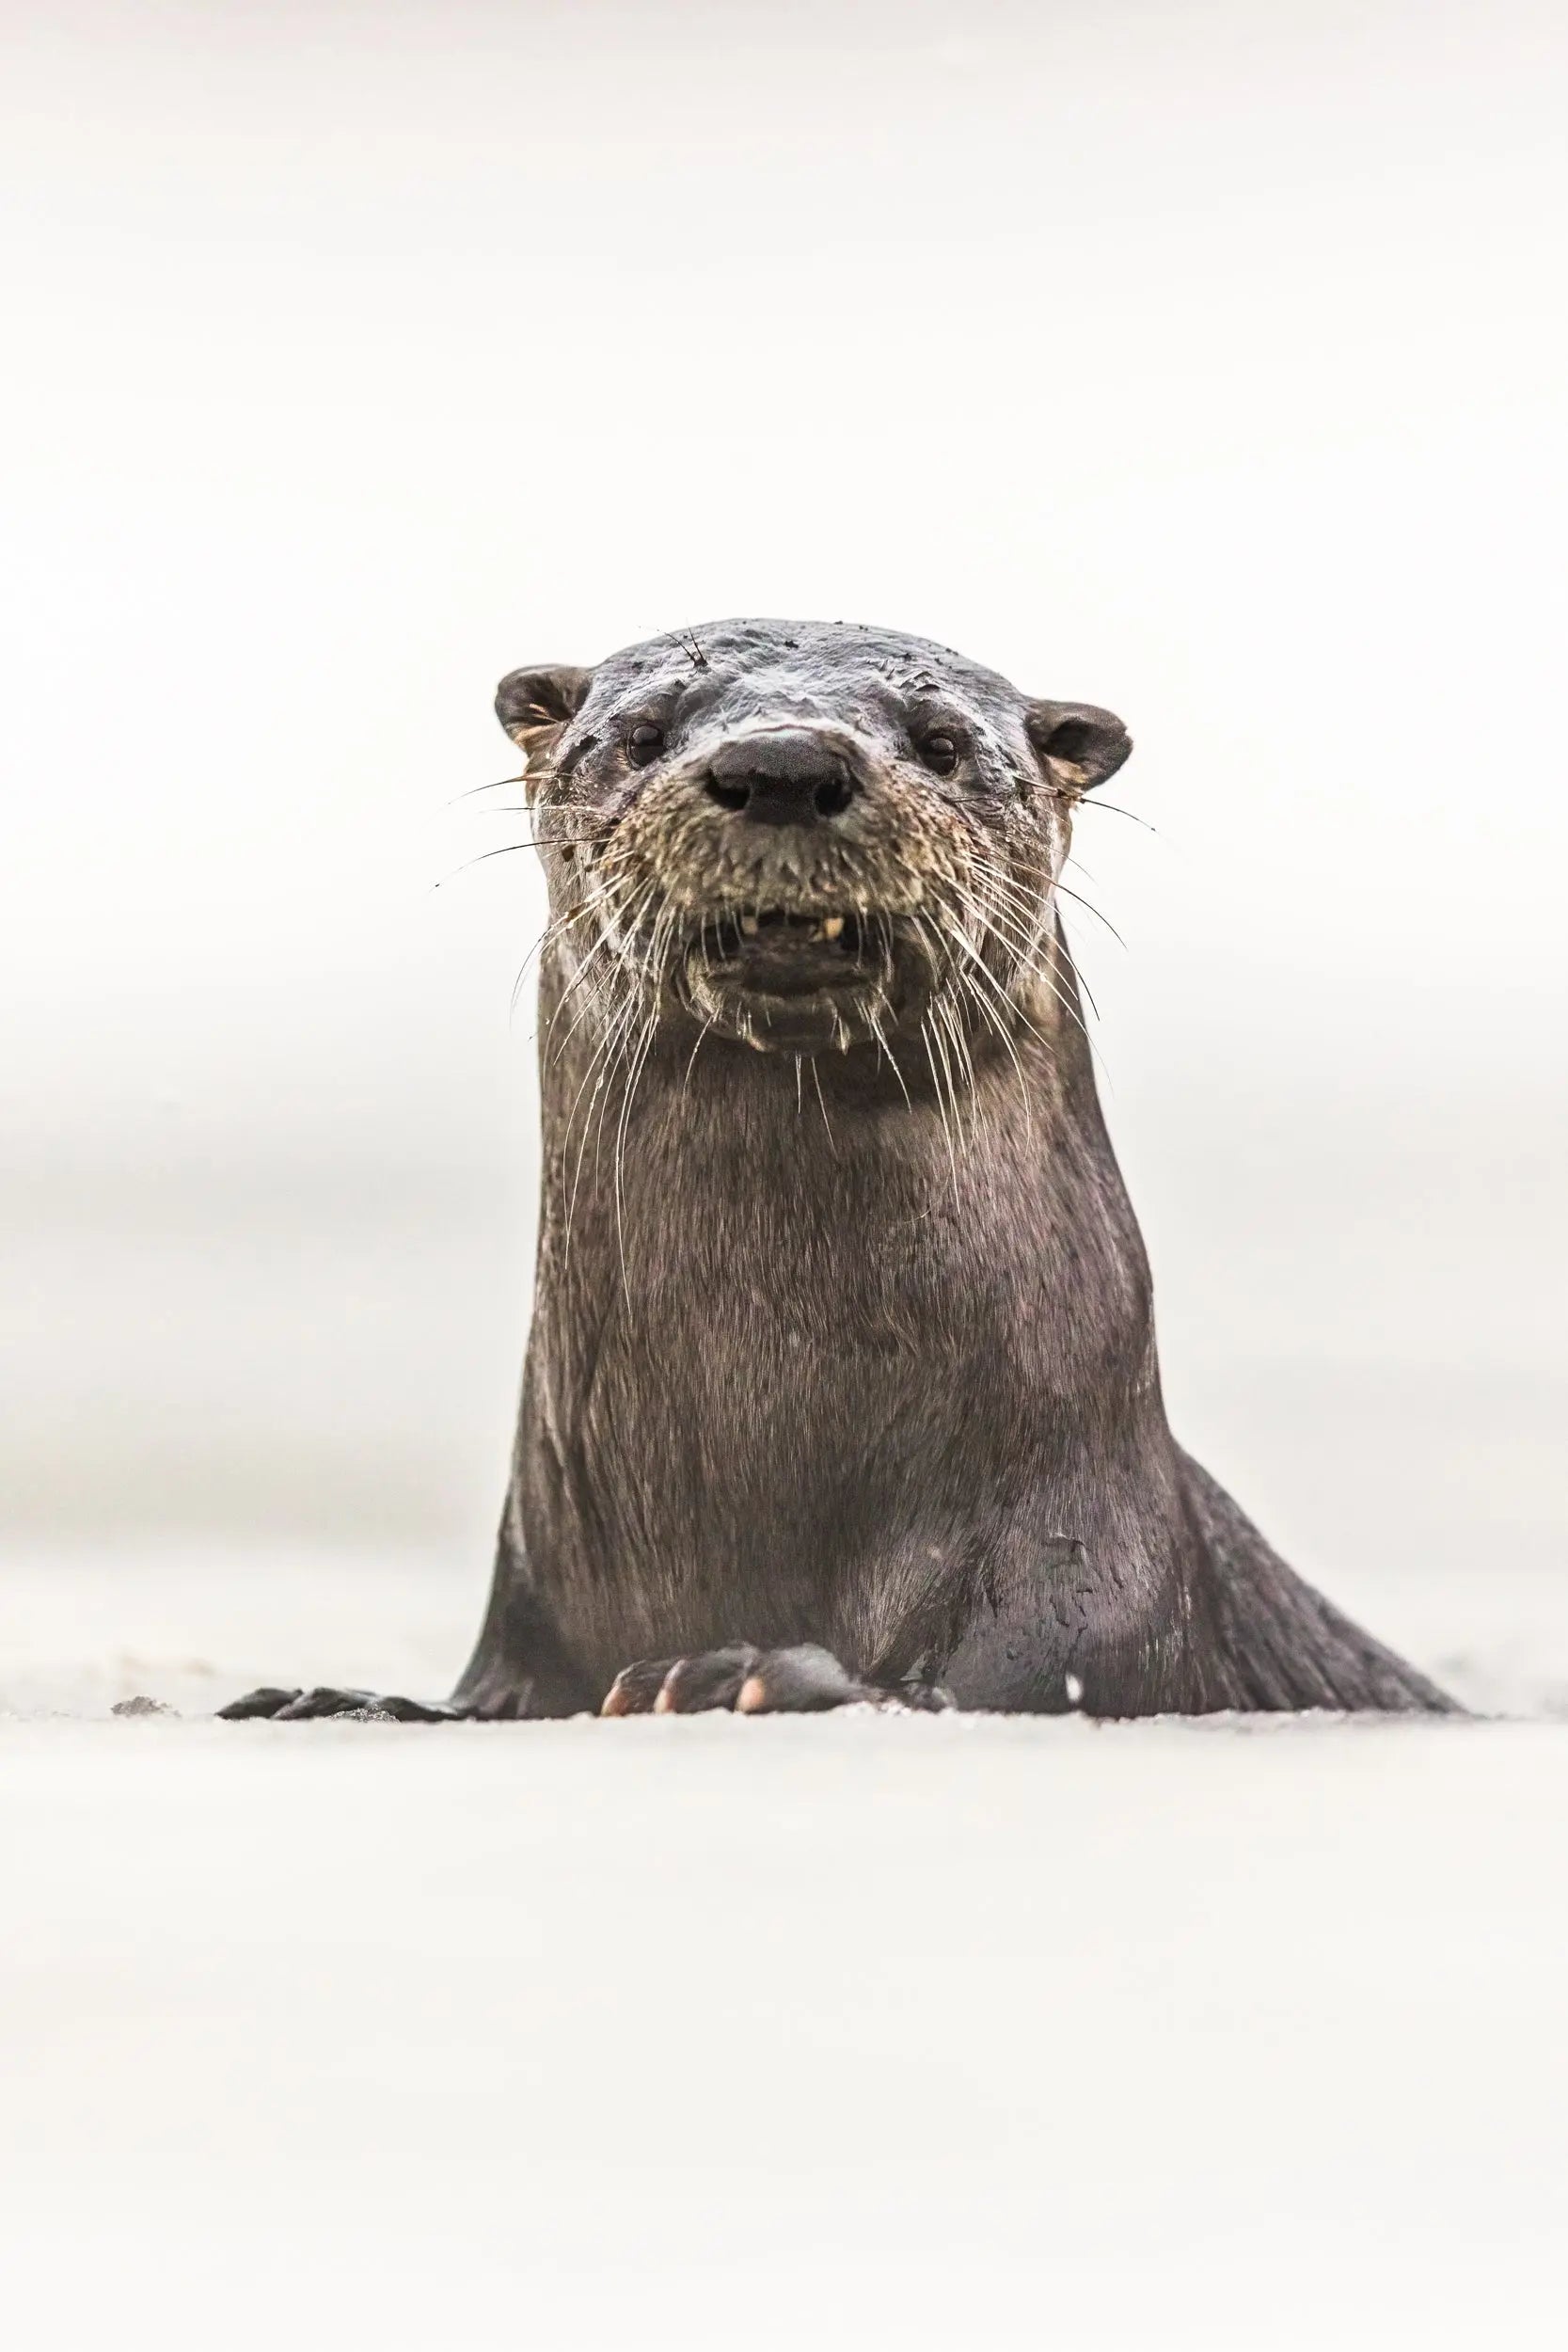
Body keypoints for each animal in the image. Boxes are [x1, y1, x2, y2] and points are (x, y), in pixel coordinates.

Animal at [221, 620, 1453, 1723]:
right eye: (643, 730)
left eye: (942, 742)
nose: (781, 763)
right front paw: (337, 1700)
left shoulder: (1089, 1588)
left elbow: (975, 1684)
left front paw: (728, 1675)